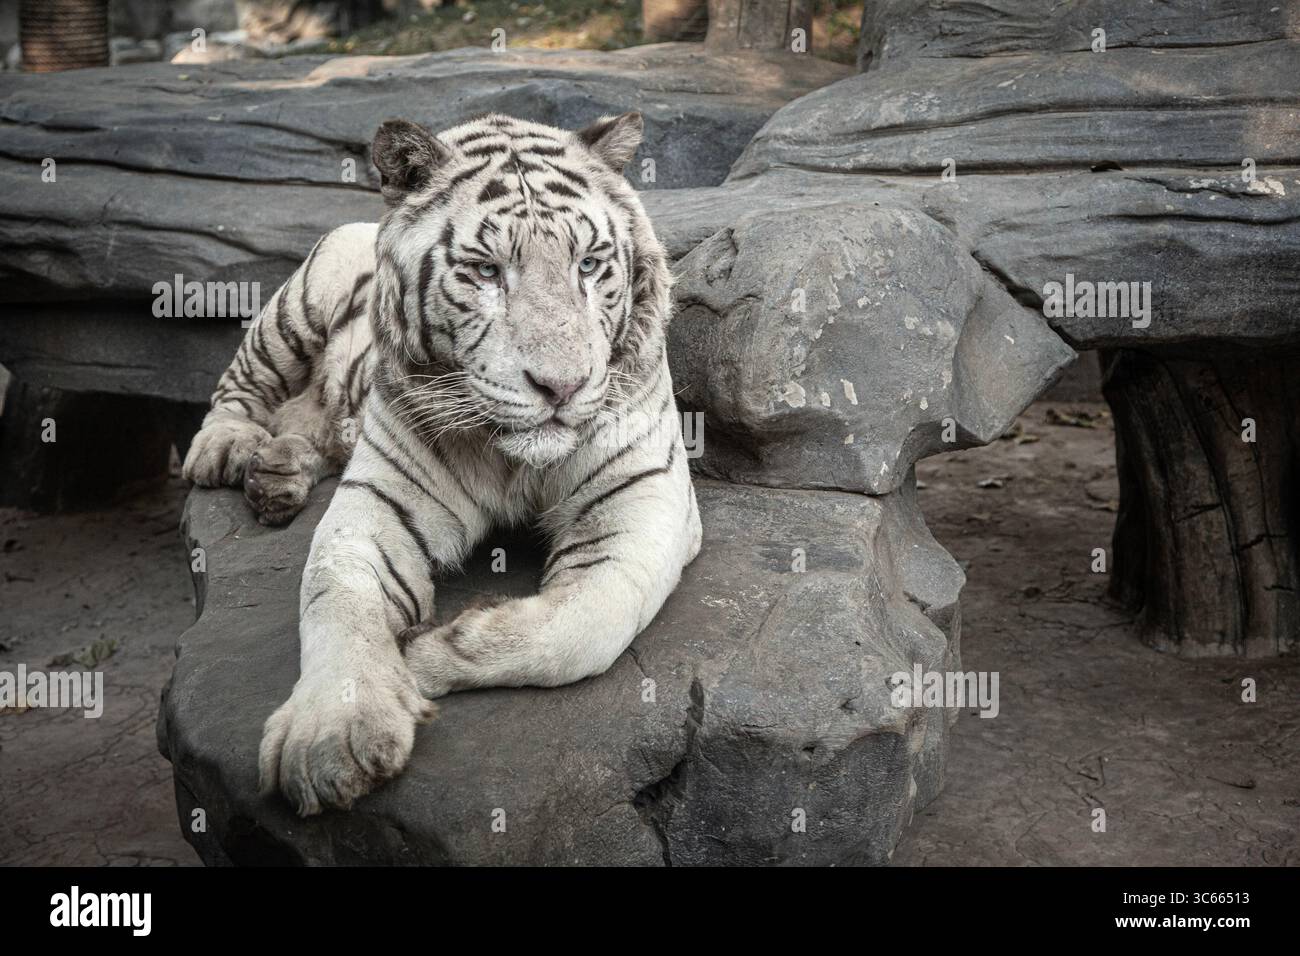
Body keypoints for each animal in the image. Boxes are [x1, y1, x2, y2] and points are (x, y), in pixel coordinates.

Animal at [181, 111, 702, 816]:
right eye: (485, 271)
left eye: (590, 264)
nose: (562, 387)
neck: (513, 459)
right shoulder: (377, 504)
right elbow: (336, 598)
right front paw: (333, 734)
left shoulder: (647, 496)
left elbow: (589, 620)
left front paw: (431, 652)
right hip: (299, 303)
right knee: (243, 387)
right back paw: (227, 449)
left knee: (305, 420)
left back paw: (276, 479)